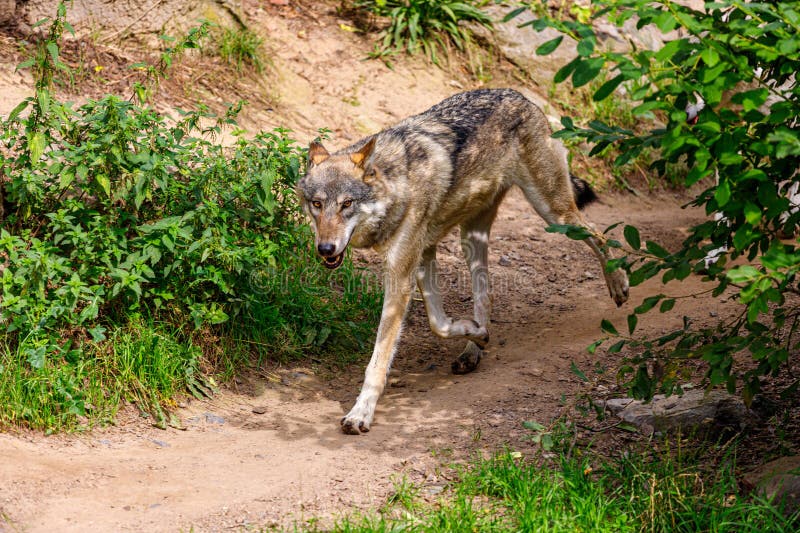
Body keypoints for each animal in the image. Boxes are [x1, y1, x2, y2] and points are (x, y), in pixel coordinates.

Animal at [297, 89, 629, 434]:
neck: (397, 183)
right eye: (317, 204)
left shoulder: (402, 272)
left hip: (555, 214)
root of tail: (520, 95)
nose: (325, 248)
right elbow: (439, 323)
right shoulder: (423, 257)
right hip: (472, 237)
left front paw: (361, 413)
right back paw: (473, 351)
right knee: (486, 294)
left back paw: (619, 285)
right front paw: (476, 332)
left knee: (599, 236)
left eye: (347, 204)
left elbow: (380, 357)